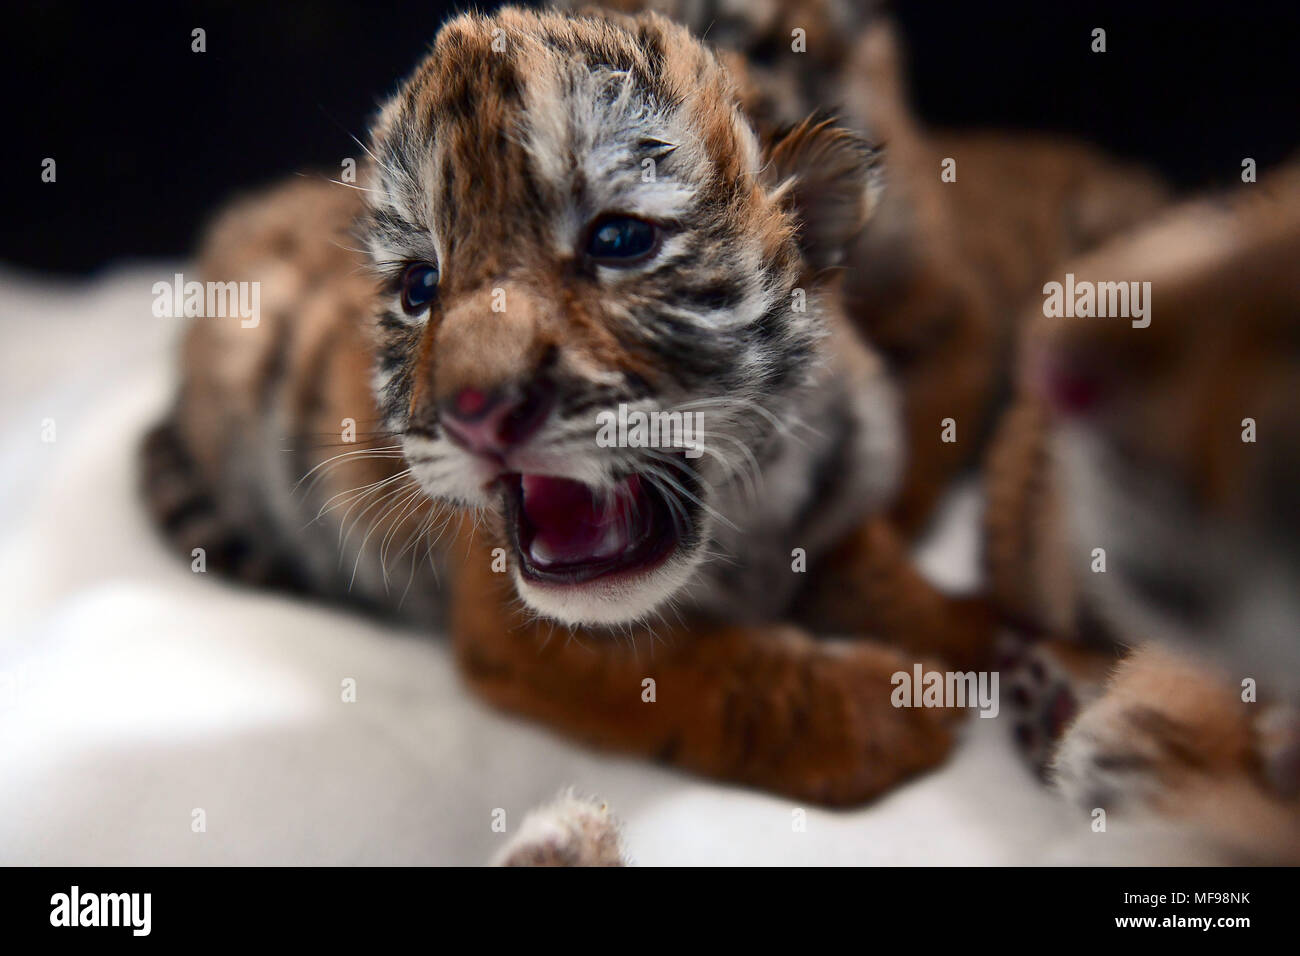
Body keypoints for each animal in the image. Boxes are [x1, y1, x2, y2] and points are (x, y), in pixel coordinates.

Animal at [141, 2, 1161, 805]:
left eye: (619, 241)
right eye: (420, 287)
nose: (474, 409)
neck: (749, 513)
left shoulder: (835, 516)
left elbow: (887, 578)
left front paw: (989, 634)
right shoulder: (530, 633)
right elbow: (729, 676)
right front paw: (900, 709)